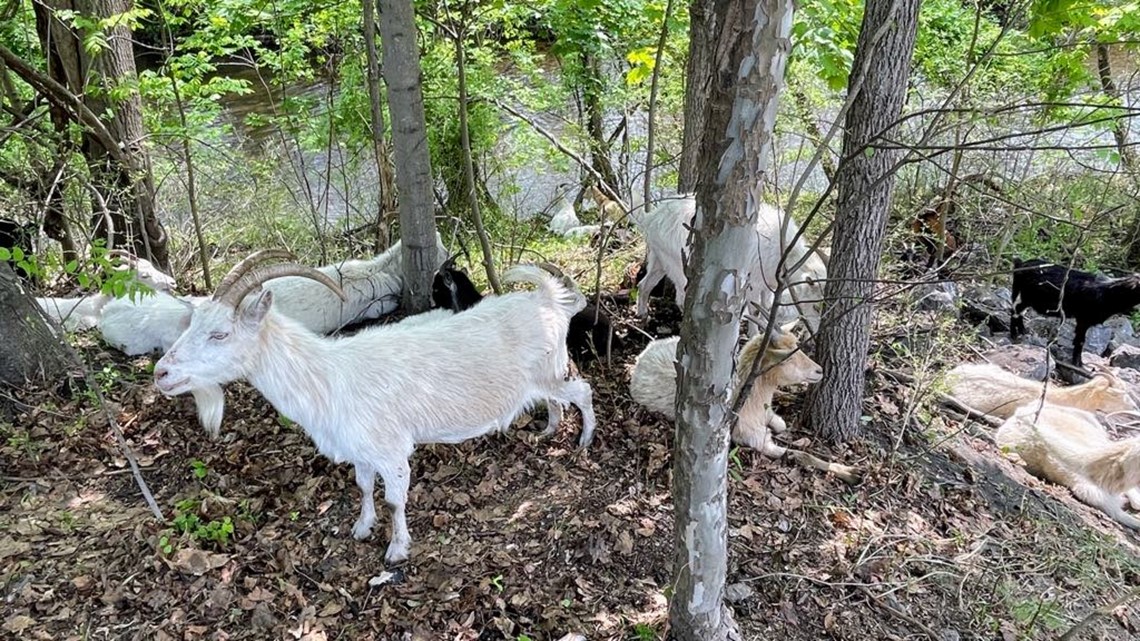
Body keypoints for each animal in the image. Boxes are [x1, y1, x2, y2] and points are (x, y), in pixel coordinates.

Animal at [628, 325, 859, 483]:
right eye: (786, 359)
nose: (820, 370)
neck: (749, 401)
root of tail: (643, 353)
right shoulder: (757, 440)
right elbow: (801, 454)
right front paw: (850, 472)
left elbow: (782, 425)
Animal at [634, 194, 827, 334]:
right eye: (816, 307)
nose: (816, 332)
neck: (785, 251)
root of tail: (650, 218)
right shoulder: (754, 283)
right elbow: (755, 309)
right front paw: (754, 335)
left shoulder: (768, 286)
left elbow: (766, 306)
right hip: (677, 264)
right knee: (681, 297)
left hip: (659, 258)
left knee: (645, 284)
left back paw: (642, 315)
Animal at [1010, 258, 1140, 367]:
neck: (1107, 293)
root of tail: (1020, 264)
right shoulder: (1083, 318)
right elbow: (1080, 341)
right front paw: (1078, 364)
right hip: (1026, 296)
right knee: (1015, 310)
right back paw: (1014, 335)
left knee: (1019, 311)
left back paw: (1023, 331)